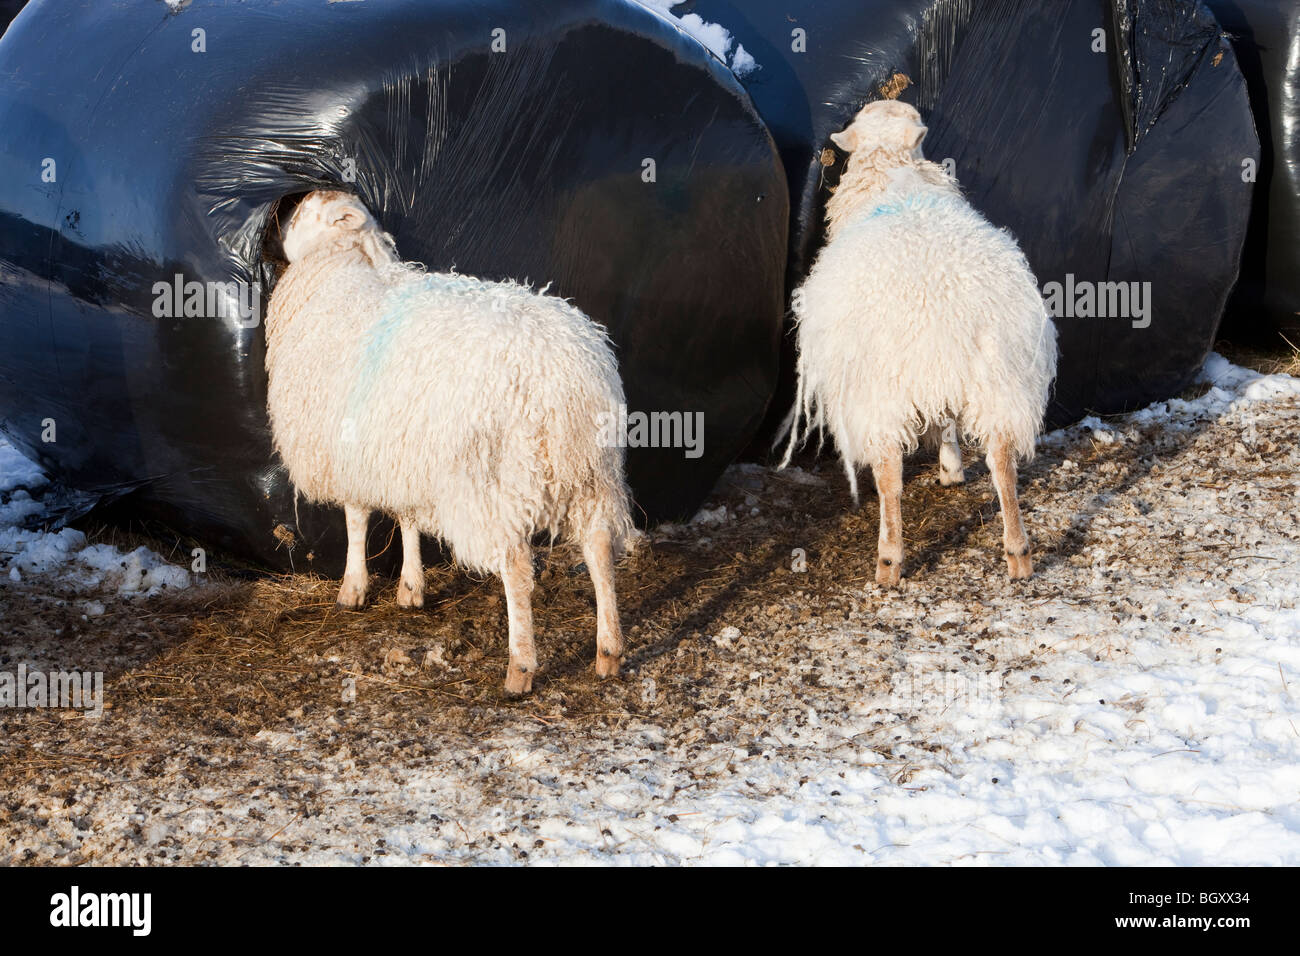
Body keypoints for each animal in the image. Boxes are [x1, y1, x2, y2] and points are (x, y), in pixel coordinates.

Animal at [265, 190, 634, 694]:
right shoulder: (400, 450)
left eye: (304, 212)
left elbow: (357, 518)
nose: (274, 224)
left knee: (517, 568)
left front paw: (353, 588)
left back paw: (520, 667)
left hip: (494, 482)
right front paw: (411, 588)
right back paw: (608, 651)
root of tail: (558, 373)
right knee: (600, 549)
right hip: (590, 470)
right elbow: (407, 517)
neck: (340, 268)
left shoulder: (350, 446)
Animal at [779, 100, 1058, 583]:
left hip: (881, 391)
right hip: (999, 378)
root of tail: (941, 309)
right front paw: (953, 471)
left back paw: (889, 560)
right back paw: (1018, 553)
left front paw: (948, 471)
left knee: (889, 475)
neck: (889, 170)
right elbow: (946, 422)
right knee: (1003, 463)